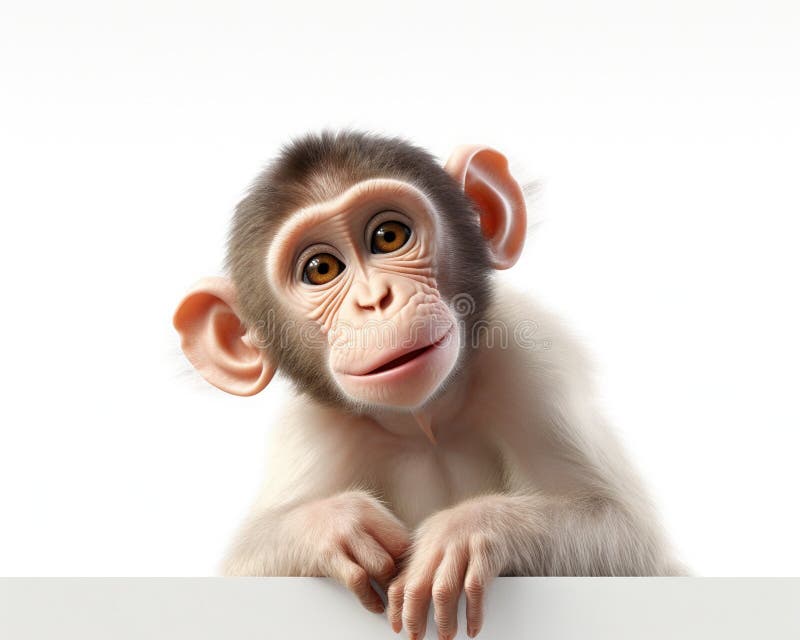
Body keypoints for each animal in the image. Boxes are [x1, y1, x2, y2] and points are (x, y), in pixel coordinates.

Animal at [173, 131, 682, 640]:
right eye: (321, 269)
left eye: (389, 237)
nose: (374, 300)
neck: (425, 423)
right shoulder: (315, 432)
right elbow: (245, 562)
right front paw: (333, 525)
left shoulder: (530, 364)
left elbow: (630, 536)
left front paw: (469, 531)